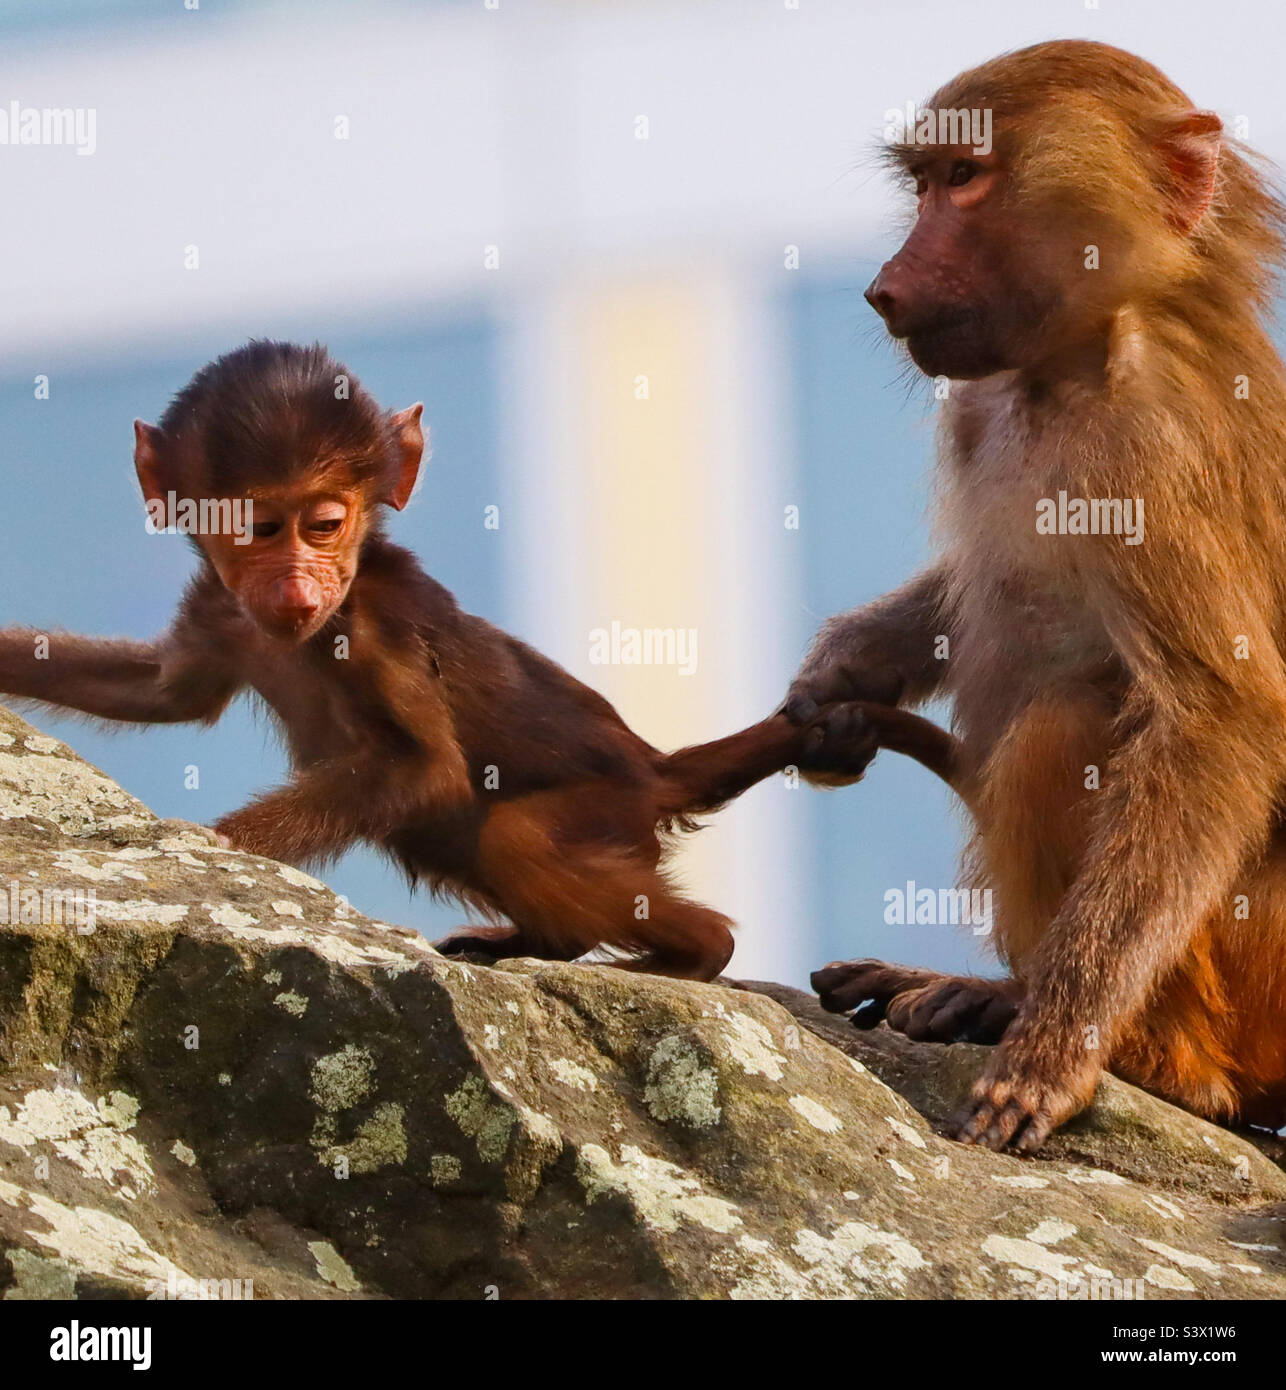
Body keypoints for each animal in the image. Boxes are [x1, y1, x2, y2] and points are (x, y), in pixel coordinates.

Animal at [0, 339, 957, 982]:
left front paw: (210, 846)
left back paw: (692, 953)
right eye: (259, 529)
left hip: (604, 806)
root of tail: (652, 765)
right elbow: (163, 691)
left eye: (325, 523)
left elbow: (425, 768)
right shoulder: (218, 609)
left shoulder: (373, 626)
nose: (301, 586)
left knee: (513, 833)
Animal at [787, 40, 1286, 1149]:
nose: (883, 289)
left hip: (1256, 979)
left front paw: (1053, 1050)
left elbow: (1222, 718)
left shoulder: (1146, 454)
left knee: (1061, 729)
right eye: (924, 184)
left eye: (966, 178)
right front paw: (838, 677)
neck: (1074, 364)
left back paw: (1144, 1061)